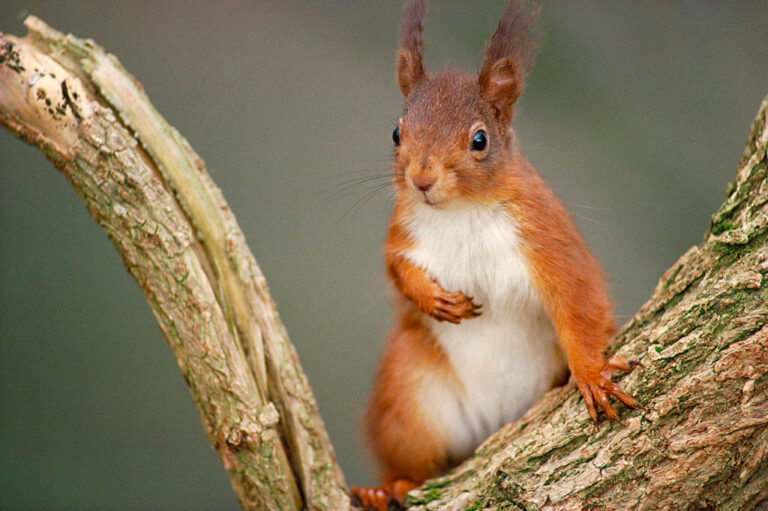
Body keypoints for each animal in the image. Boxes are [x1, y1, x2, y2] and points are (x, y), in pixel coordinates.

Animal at [350, 1, 642, 509]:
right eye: (396, 133)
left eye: (480, 140)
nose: (422, 180)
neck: (461, 211)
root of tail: (493, 420)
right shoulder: (403, 228)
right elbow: (395, 266)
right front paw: (433, 299)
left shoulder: (544, 235)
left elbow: (576, 296)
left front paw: (592, 374)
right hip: (409, 396)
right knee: (415, 464)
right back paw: (387, 487)